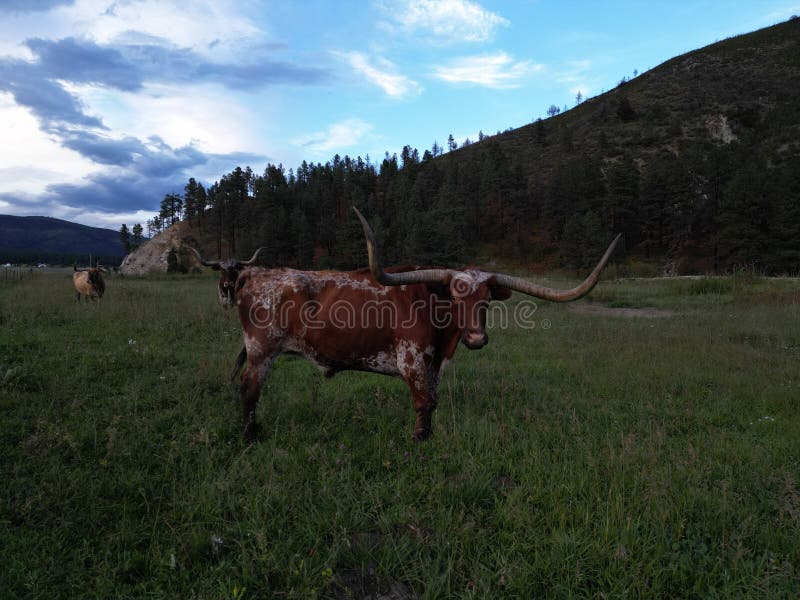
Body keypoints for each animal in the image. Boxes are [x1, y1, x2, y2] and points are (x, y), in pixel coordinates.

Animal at [205, 209, 620, 442]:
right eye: (455, 295)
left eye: (486, 300)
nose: (476, 338)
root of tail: (252, 275)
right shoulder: (412, 360)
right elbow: (424, 402)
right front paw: (419, 441)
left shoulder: (434, 363)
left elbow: (432, 402)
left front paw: (428, 435)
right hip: (261, 350)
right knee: (249, 389)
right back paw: (250, 436)